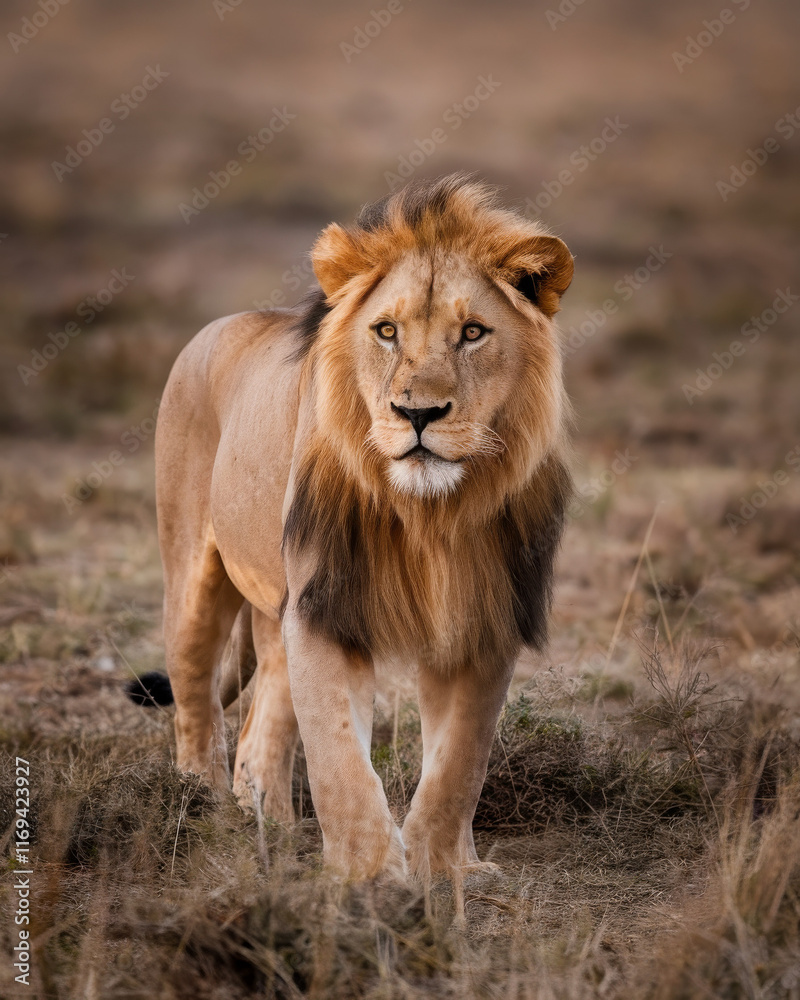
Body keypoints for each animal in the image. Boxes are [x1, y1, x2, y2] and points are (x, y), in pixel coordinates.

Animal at [139, 174, 574, 881]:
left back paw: (271, 823)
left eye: (473, 332)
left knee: (263, 720)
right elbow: (340, 757)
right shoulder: (325, 607)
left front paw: (445, 867)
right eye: (387, 331)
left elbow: (459, 763)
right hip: (193, 581)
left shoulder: (481, 621)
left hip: (278, 605)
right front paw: (370, 879)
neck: (428, 515)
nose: (417, 413)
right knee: (196, 700)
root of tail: (224, 323)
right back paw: (198, 810)